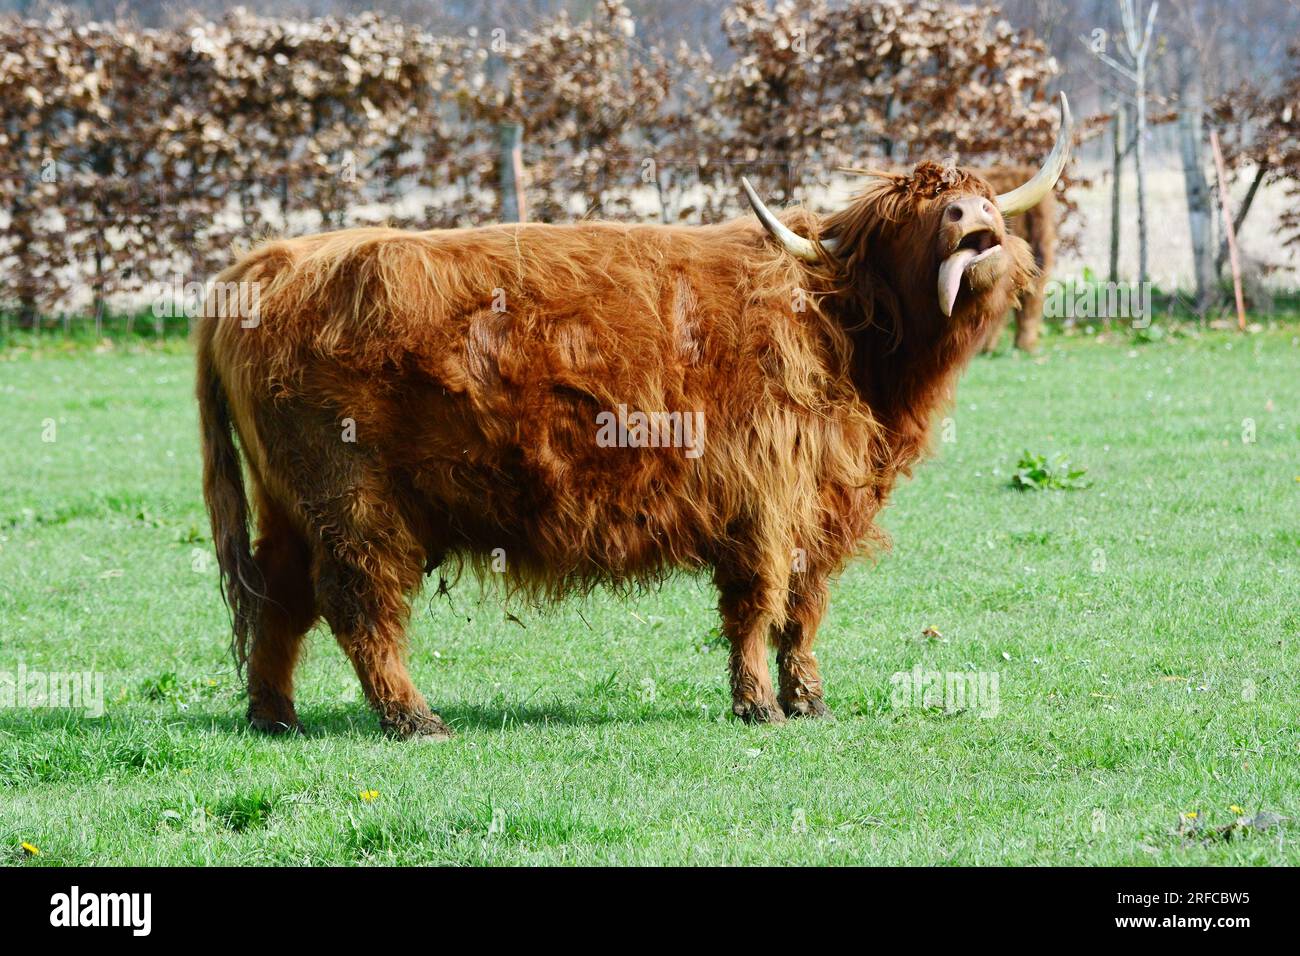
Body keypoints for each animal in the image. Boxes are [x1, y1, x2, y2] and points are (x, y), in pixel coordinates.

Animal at [197, 95, 1072, 740]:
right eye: (910, 219)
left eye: (980, 197)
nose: (970, 216)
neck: (842, 337)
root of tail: (269, 263)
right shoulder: (762, 497)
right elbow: (757, 604)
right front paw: (759, 705)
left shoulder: (821, 504)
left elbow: (805, 608)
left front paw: (809, 700)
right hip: (352, 500)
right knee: (359, 603)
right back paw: (414, 719)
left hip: (289, 504)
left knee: (279, 600)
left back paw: (274, 716)